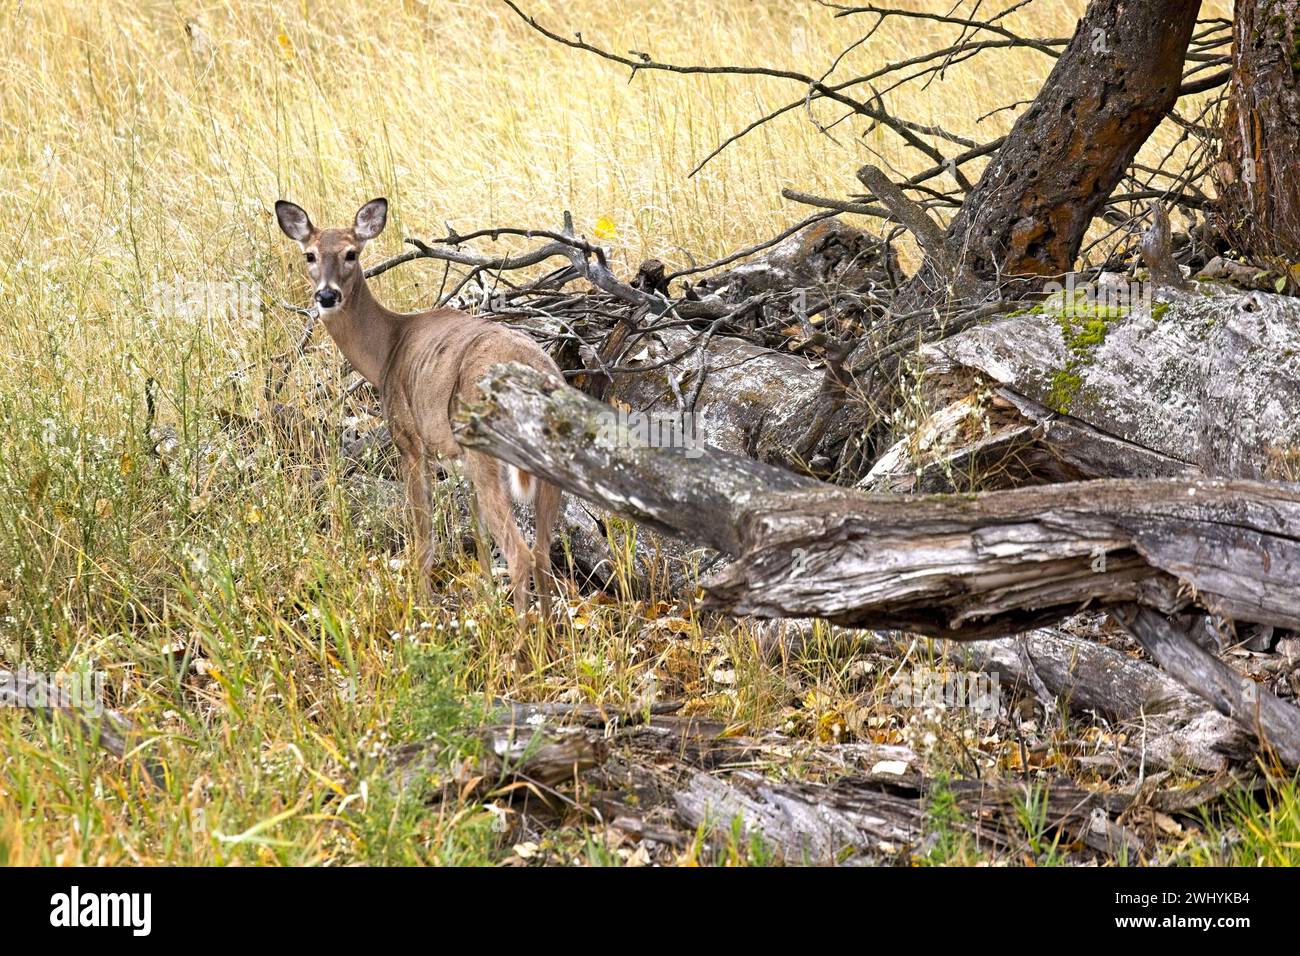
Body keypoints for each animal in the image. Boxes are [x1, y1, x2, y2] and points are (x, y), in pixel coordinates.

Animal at [275, 197, 563, 619]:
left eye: (351, 253)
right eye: (309, 255)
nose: (326, 296)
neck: (387, 350)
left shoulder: (410, 442)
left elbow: (423, 536)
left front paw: (424, 607)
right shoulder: (458, 458)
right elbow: (477, 539)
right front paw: (486, 605)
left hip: (488, 452)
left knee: (521, 554)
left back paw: (521, 638)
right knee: (542, 552)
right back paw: (548, 635)